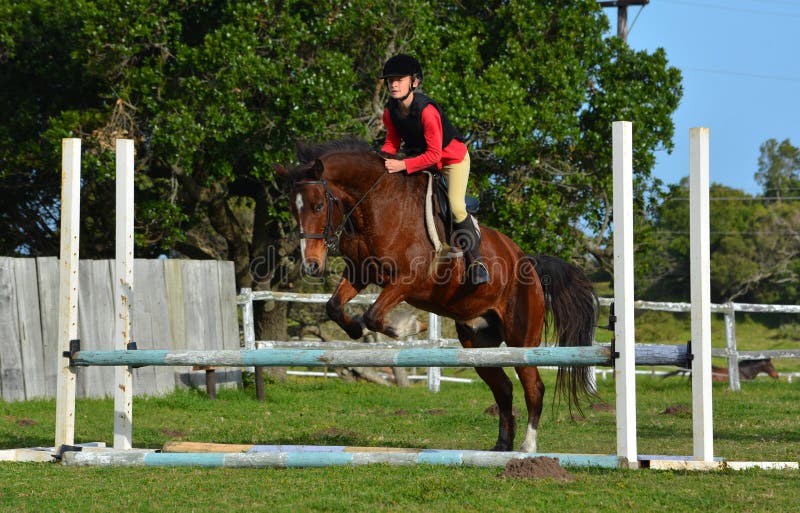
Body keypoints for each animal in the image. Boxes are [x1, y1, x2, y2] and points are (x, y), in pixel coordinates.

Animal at [275, 139, 598, 452]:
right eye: (292, 208)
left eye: (318, 205)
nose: (311, 265)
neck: (377, 206)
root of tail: (529, 261)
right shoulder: (360, 272)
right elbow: (334, 307)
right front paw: (356, 329)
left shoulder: (409, 280)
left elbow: (374, 314)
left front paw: (409, 327)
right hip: (477, 343)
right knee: (504, 388)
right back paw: (501, 445)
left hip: (521, 338)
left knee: (534, 387)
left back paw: (527, 447)